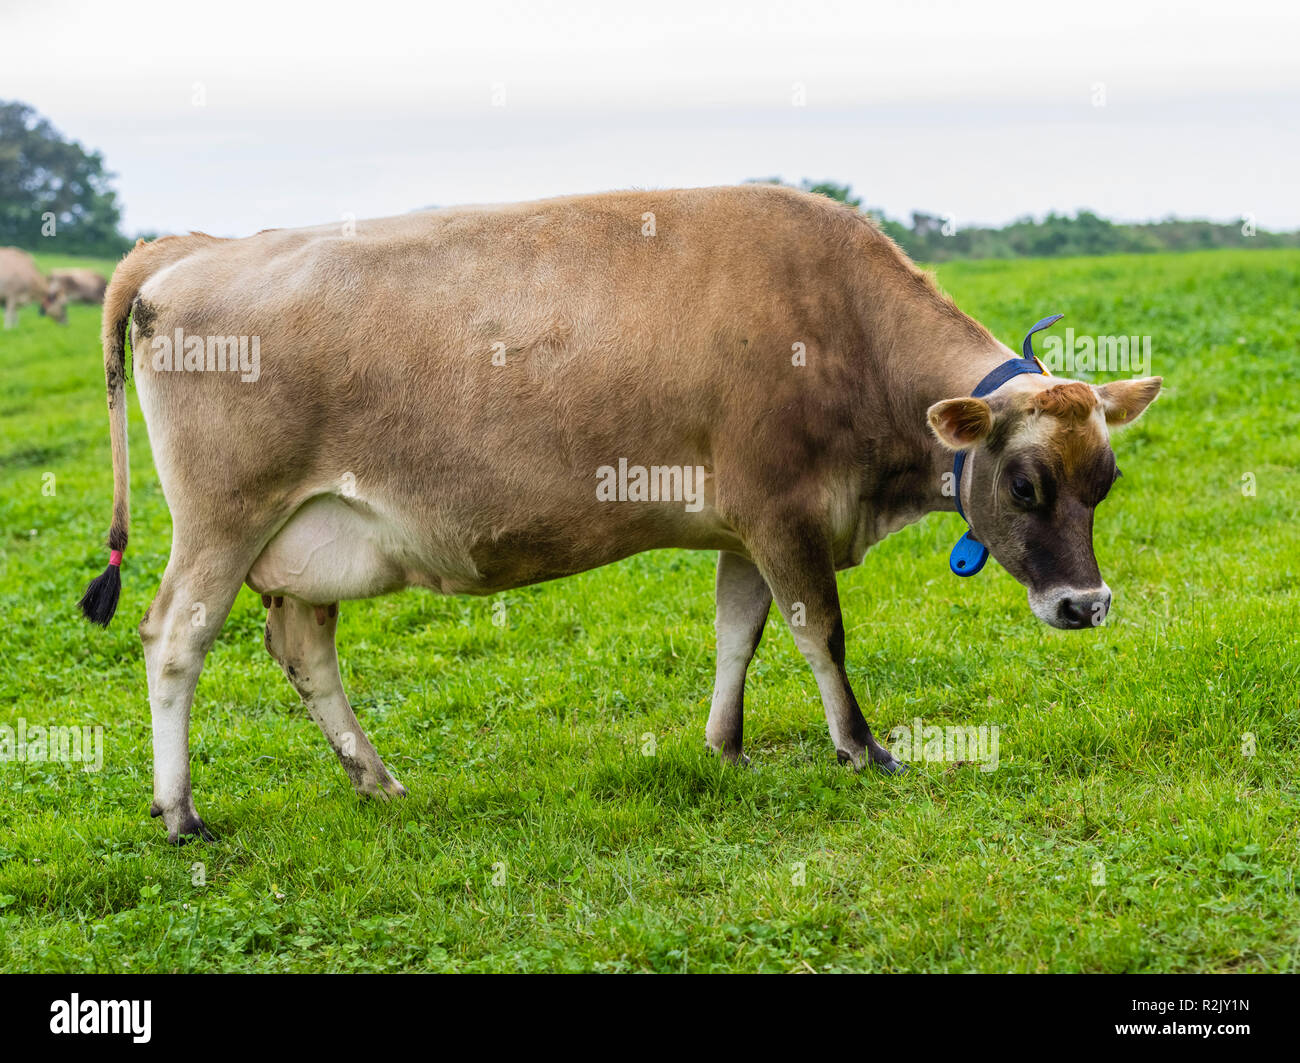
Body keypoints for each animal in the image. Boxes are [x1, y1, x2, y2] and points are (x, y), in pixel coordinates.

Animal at [77, 185, 1162, 843]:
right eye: (1024, 485)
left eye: (1103, 482)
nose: (1086, 605)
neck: (842, 324)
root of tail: (188, 249)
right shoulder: (783, 510)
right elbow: (819, 631)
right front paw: (861, 748)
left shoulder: (744, 525)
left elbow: (739, 630)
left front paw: (724, 745)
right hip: (223, 521)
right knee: (173, 638)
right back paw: (179, 810)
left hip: (307, 542)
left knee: (303, 648)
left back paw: (375, 779)